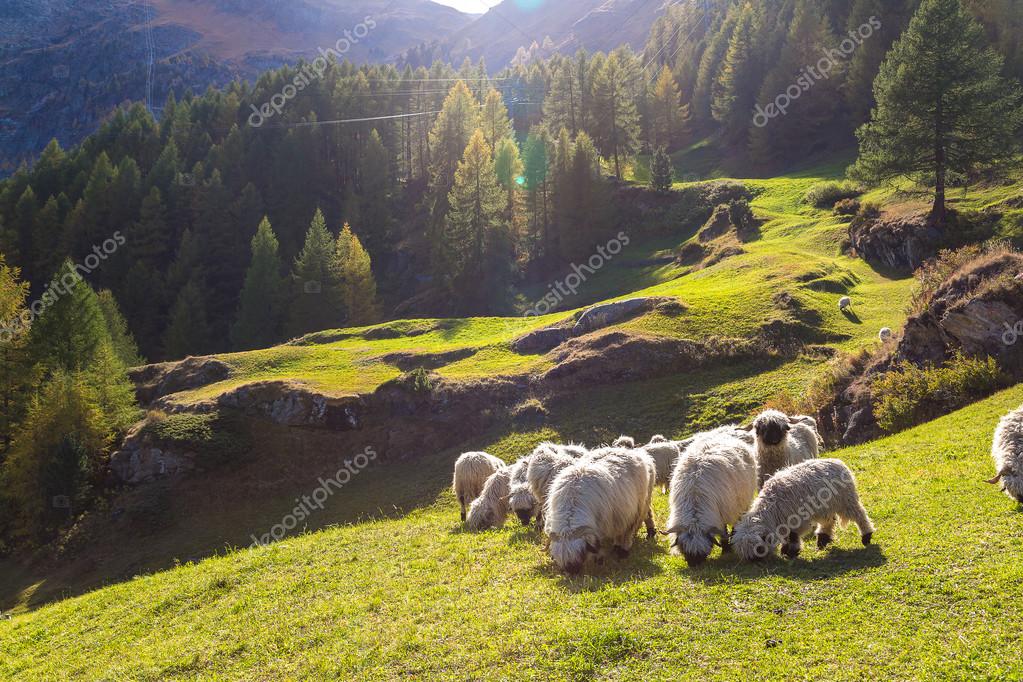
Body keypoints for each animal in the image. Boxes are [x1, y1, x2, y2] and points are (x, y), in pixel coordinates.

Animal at [664, 430, 759, 566]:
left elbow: (723, 531)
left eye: (703, 552)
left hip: (740, 504)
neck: (695, 498)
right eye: (684, 549)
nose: (694, 565)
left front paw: (726, 549)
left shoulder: (723, 511)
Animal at [732, 458, 874, 561]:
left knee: (859, 515)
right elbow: (786, 535)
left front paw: (792, 551)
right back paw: (822, 540)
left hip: (846, 500)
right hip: (826, 506)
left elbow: (793, 535)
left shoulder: (796, 519)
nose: (754, 561)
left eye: (759, 548)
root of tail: (839, 462)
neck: (771, 507)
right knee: (828, 521)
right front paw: (786, 550)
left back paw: (866, 536)